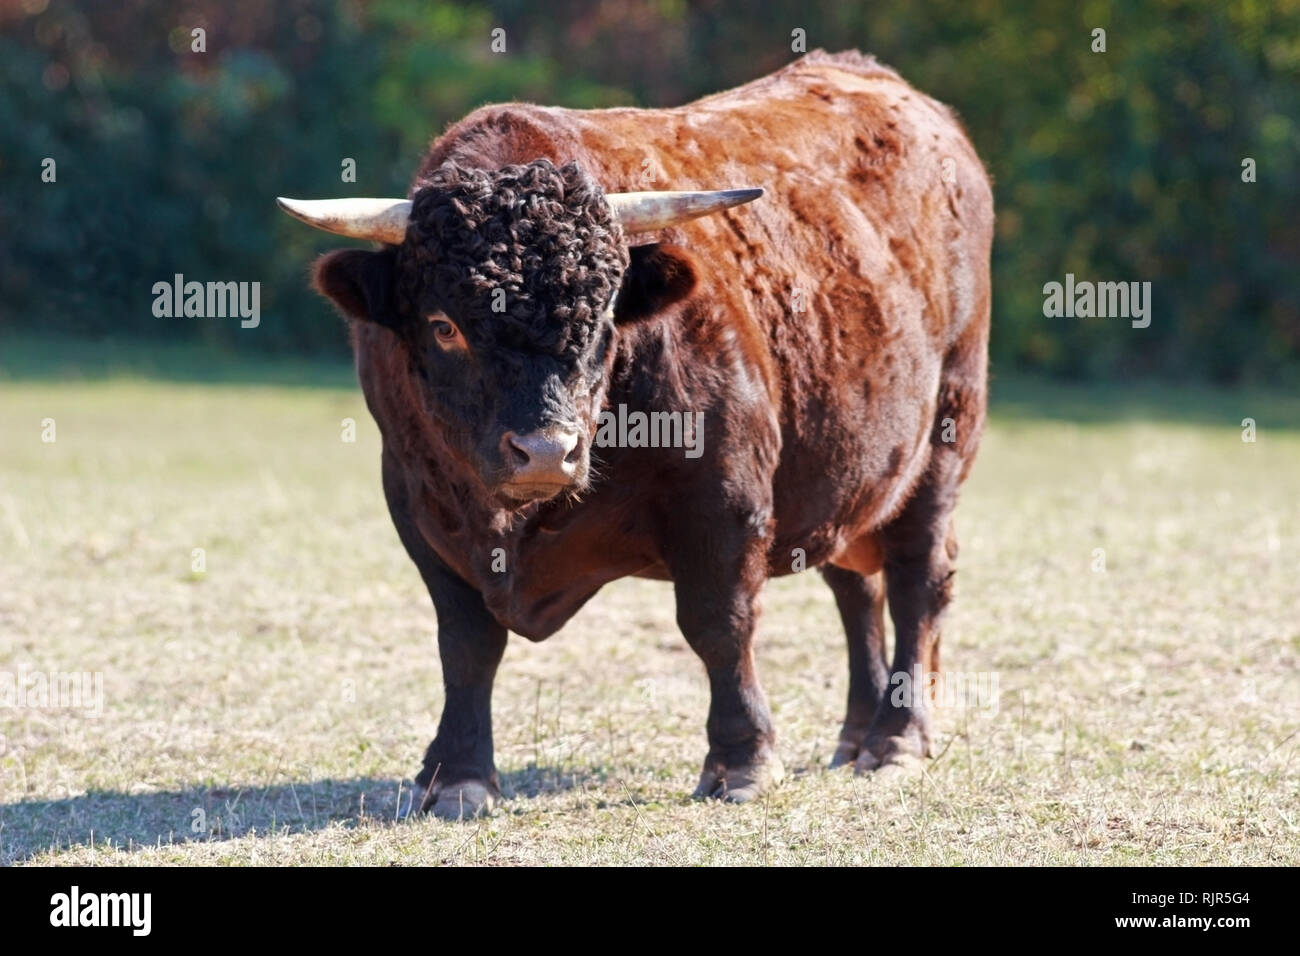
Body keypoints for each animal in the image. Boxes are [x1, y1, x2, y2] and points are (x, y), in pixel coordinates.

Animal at [279, 49, 993, 818]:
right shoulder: (417, 502)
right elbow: (465, 642)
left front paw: (741, 760)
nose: (546, 452)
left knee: (919, 578)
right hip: (845, 471)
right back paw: (856, 736)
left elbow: (718, 624)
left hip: (945, 437)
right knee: (856, 588)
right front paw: (456, 774)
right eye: (444, 326)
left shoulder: (722, 497)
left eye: (603, 315)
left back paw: (895, 739)